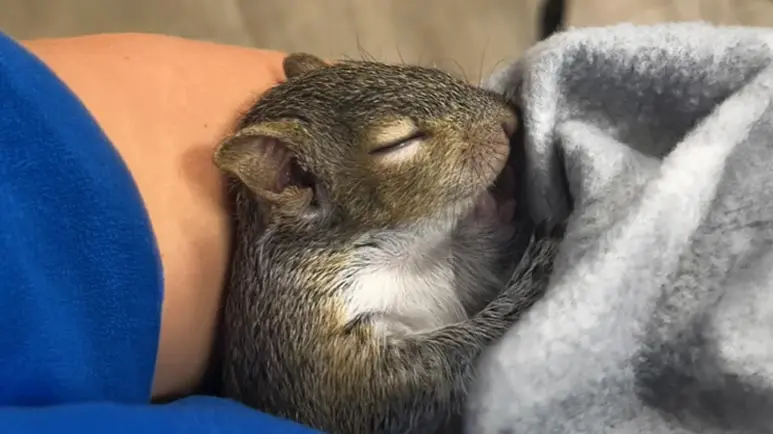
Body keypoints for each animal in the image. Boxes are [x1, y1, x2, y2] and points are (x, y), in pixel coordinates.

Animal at [213, 52, 562, 434]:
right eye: (396, 144)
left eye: (423, 71)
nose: (511, 118)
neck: (407, 252)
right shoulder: (326, 362)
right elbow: (431, 373)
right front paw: (535, 271)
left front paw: (491, 210)